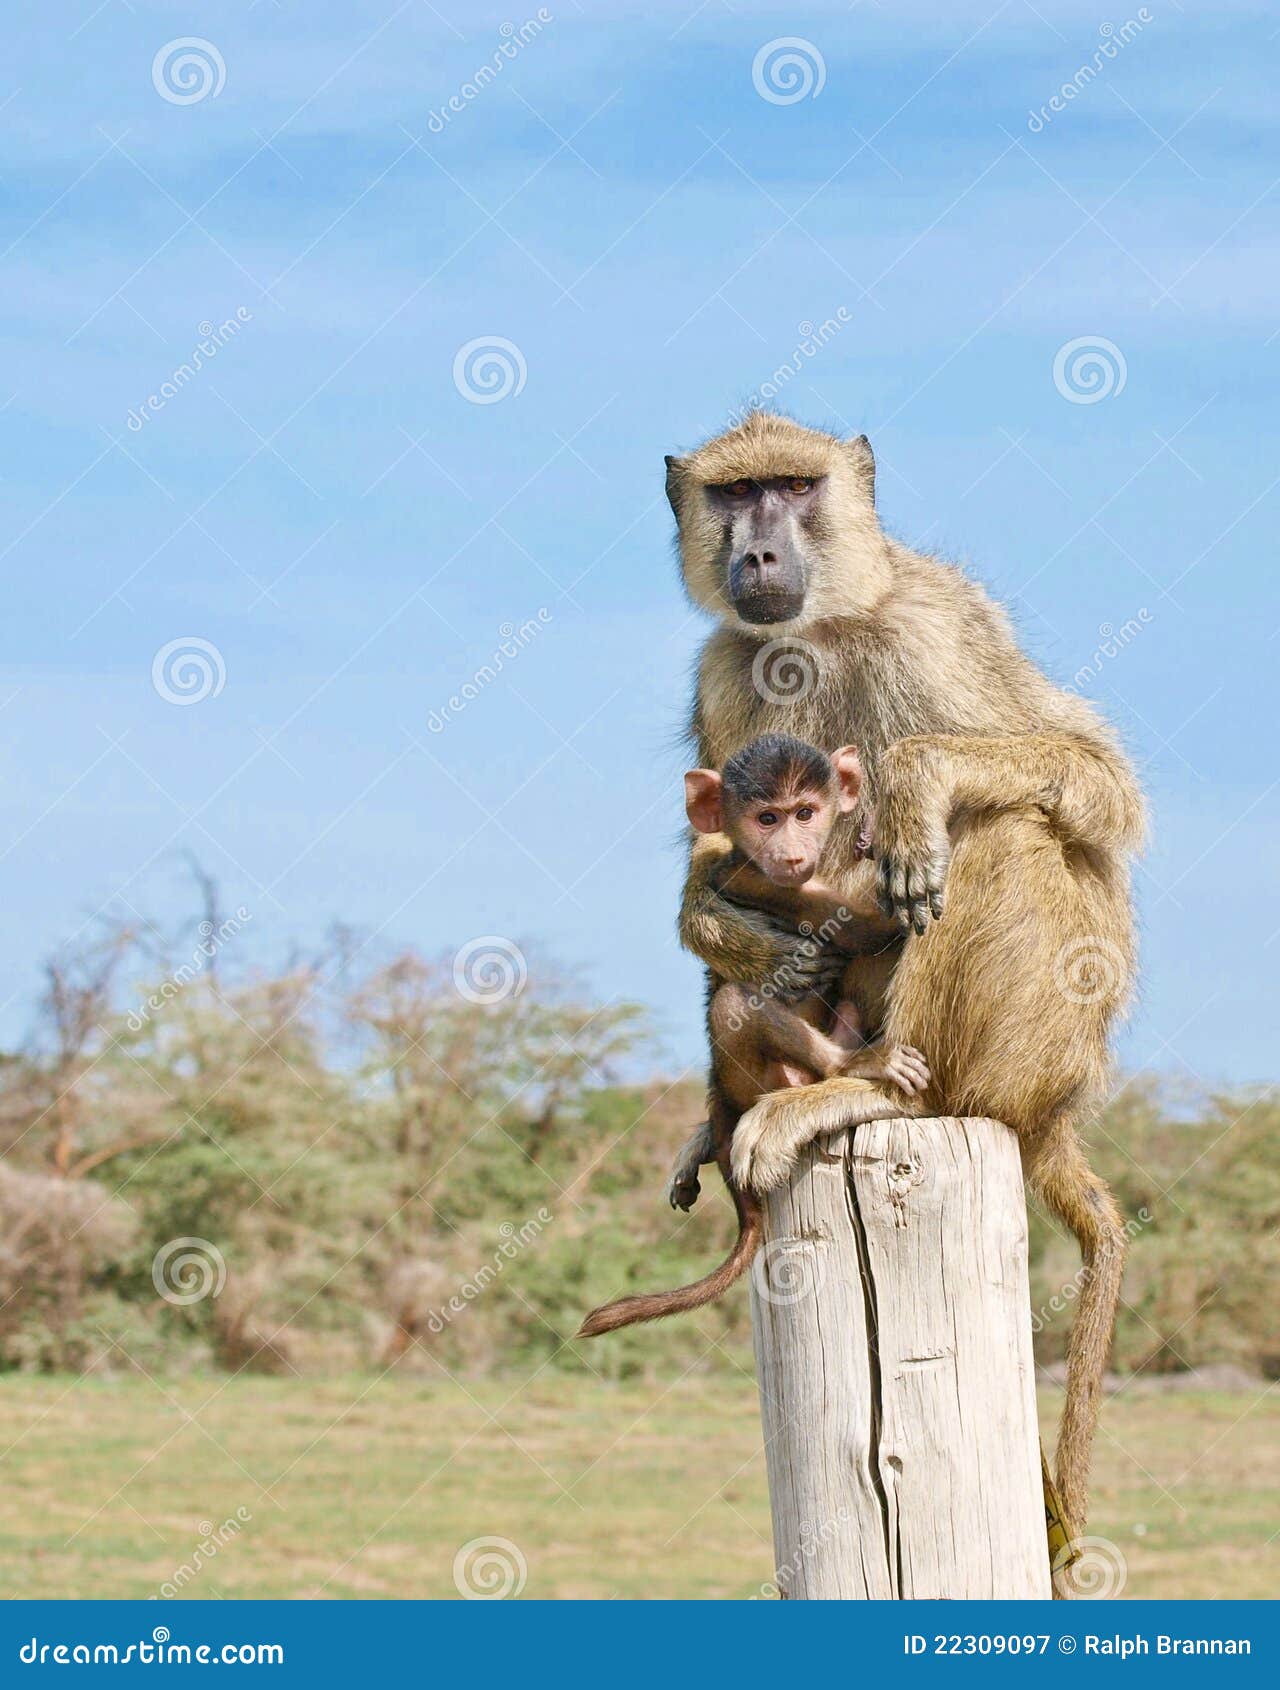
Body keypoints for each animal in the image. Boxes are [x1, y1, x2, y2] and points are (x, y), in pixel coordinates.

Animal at [576, 733, 927, 1341]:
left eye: (804, 812)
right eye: (767, 818)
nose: (789, 851)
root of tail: (727, 1106)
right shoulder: (760, 879)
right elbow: (868, 930)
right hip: (758, 1080)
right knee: (734, 1004)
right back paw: (852, 1065)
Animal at [660, 411, 1144, 1536]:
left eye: (794, 488)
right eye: (734, 494)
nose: (759, 555)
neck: (825, 625)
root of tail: (1053, 1104)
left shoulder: (933, 626)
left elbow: (1097, 784)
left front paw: (914, 783)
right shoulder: (725, 665)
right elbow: (715, 865)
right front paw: (718, 918)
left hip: (1029, 1044)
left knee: (1010, 829)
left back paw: (874, 1092)